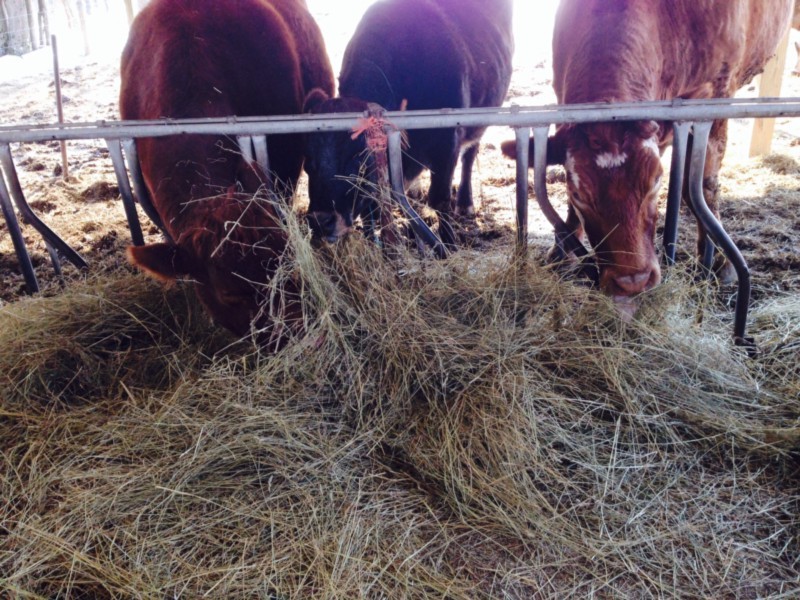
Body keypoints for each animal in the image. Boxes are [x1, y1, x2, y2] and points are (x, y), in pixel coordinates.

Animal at [303, 0, 514, 249]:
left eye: (357, 158)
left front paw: (449, 244)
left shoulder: (447, 142)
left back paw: (465, 203)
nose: (321, 220)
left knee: (470, 153)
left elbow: (440, 200)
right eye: (308, 162)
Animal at [502, 0, 793, 309]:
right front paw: (562, 254)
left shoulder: (715, 96)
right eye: (578, 194)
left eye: (656, 182)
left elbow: (703, 186)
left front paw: (720, 262)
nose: (633, 281)